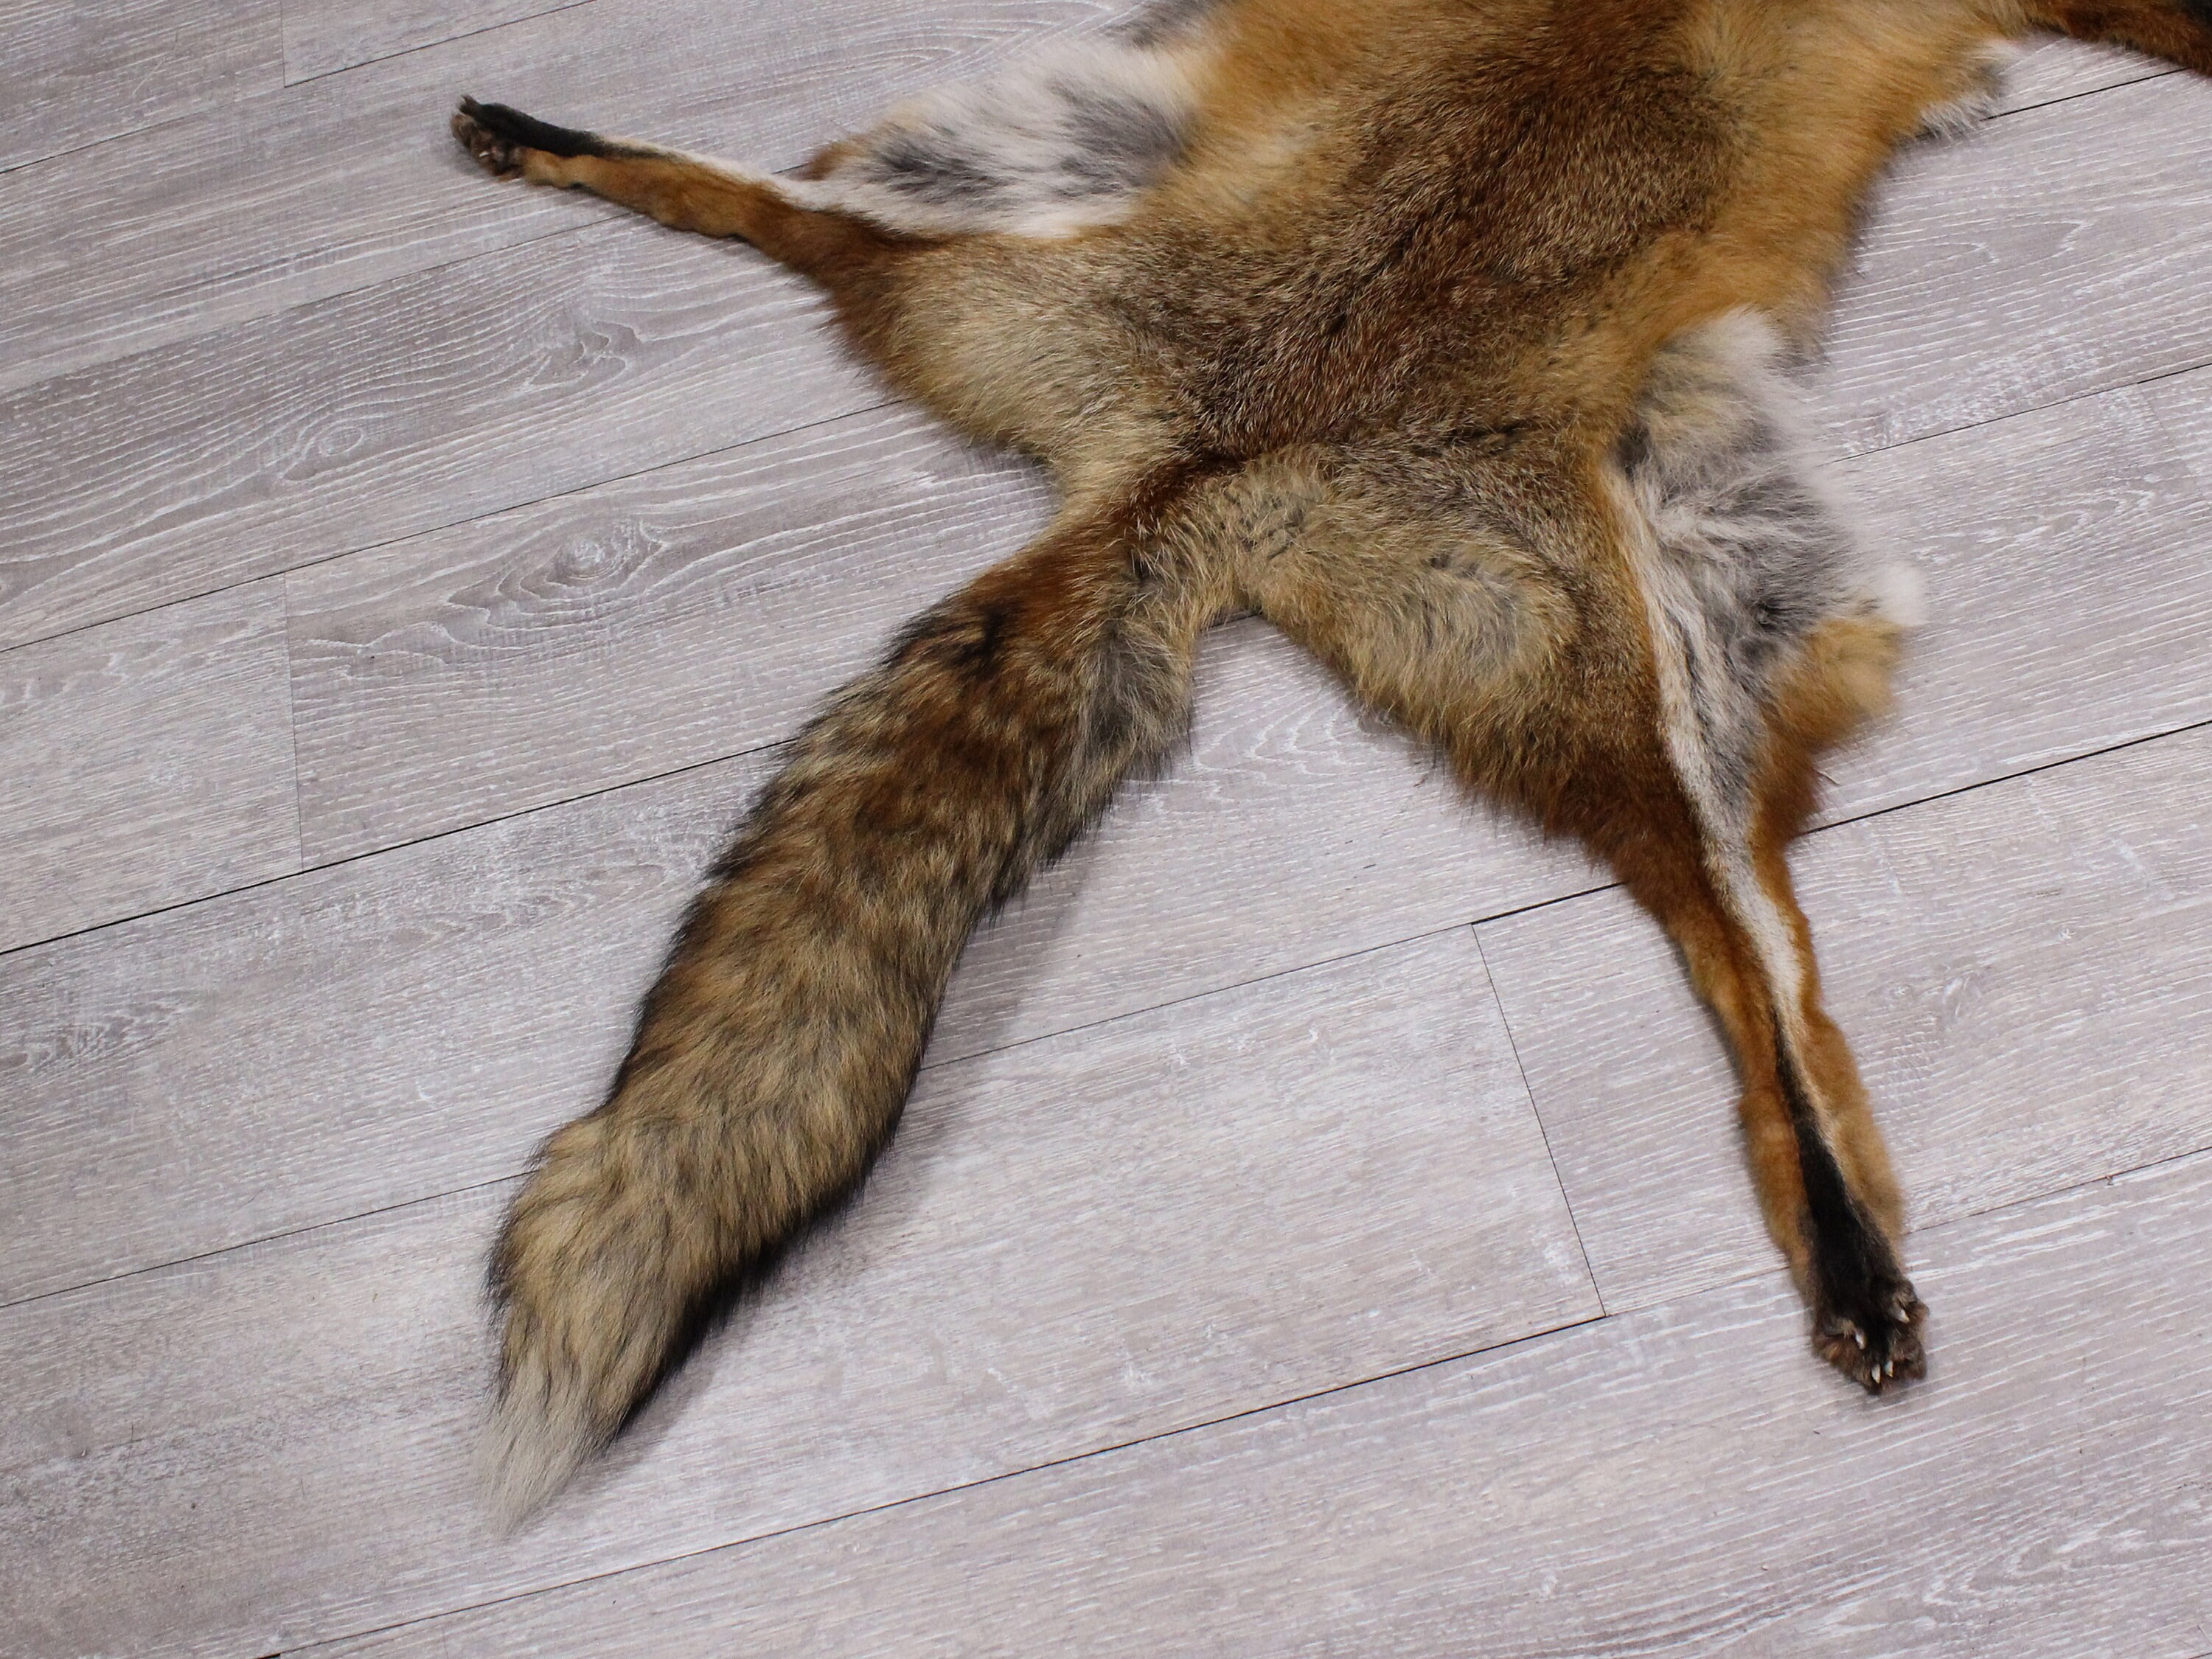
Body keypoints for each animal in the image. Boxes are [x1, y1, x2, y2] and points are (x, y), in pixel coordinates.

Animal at [449, 0, 2212, 1519]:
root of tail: (1202, 455)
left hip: (1030, 212)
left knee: (785, 210)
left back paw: (549, 140)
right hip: (1666, 668)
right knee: (1750, 963)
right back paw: (1850, 1257)